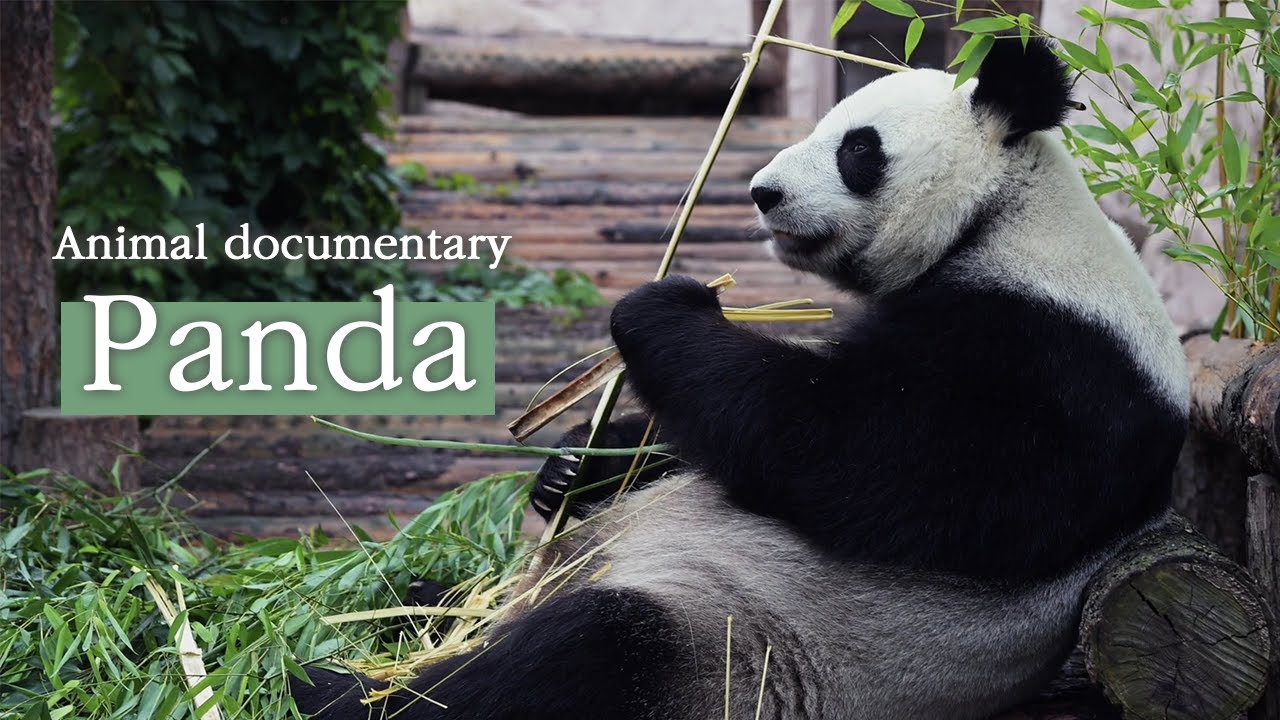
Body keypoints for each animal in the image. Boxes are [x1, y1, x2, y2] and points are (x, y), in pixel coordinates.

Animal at [293, 37, 1189, 720]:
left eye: (857, 147)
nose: (762, 192)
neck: (1004, 217)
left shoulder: (1058, 365)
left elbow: (845, 450)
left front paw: (663, 308)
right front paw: (574, 465)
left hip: (733, 652)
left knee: (573, 659)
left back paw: (327, 686)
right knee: (444, 596)